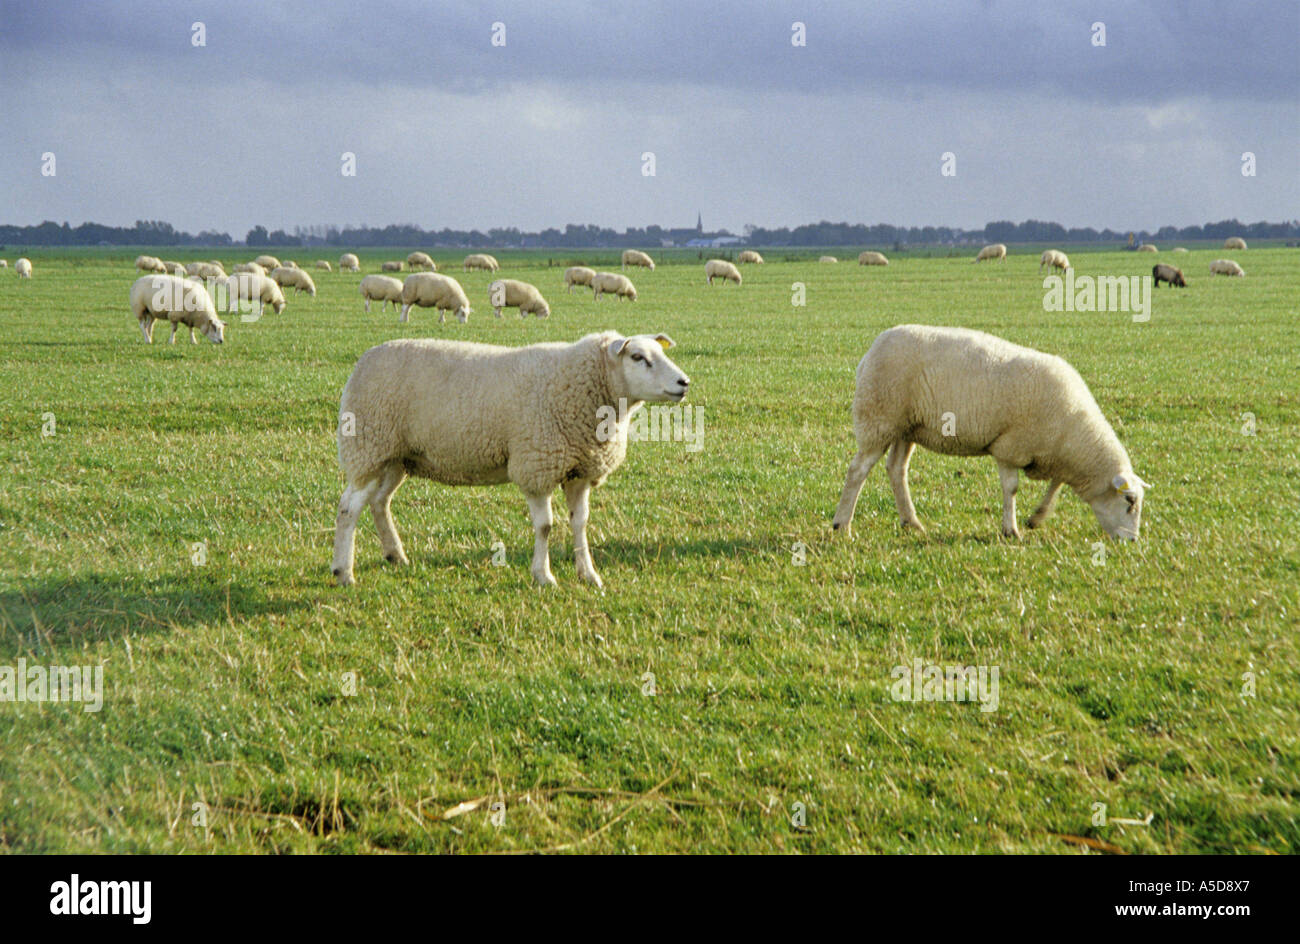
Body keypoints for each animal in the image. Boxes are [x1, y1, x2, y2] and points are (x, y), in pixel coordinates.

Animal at [331, 331, 690, 588]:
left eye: (661, 353)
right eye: (638, 357)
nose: (684, 383)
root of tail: (364, 359)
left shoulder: (579, 471)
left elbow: (580, 523)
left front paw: (588, 574)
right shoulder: (536, 465)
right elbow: (545, 526)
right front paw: (544, 576)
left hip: (396, 457)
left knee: (379, 502)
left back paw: (395, 555)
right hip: (368, 446)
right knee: (349, 507)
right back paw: (343, 572)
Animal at [831, 325, 1148, 542]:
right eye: (1129, 501)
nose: (1133, 541)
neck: (1077, 437)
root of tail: (868, 354)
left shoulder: (1051, 451)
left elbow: (1054, 485)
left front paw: (1037, 517)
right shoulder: (1010, 447)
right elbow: (1012, 488)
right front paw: (1011, 530)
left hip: (905, 428)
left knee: (896, 469)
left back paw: (911, 522)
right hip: (878, 418)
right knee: (858, 470)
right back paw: (842, 524)